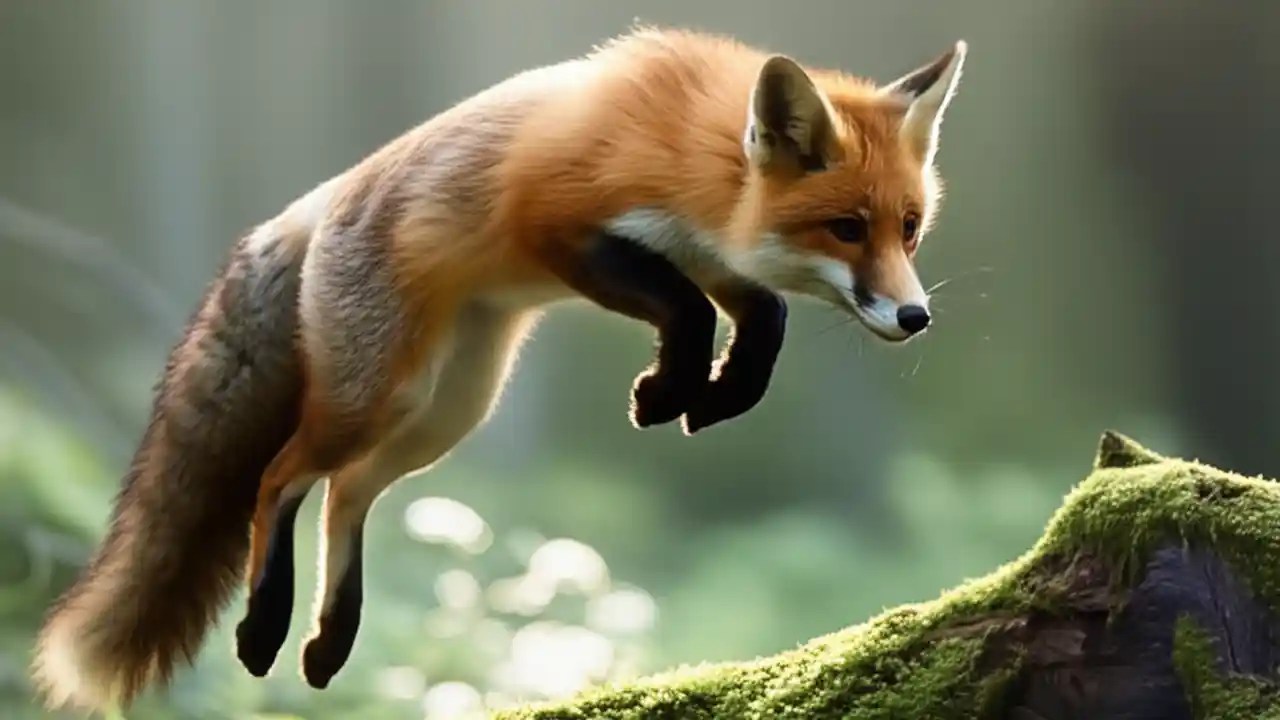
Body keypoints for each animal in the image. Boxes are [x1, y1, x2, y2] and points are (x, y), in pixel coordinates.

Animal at [31, 25, 967, 714]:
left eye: (909, 229)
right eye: (847, 228)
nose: (916, 318)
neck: (687, 153)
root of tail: (314, 202)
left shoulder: (704, 254)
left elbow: (763, 317)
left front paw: (713, 395)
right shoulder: (558, 226)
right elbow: (694, 314)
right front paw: (669, 392)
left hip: (451, 408)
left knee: (347, 492)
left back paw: (330, 641)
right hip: (382, 395)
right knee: (278, 477)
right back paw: (266, 626)